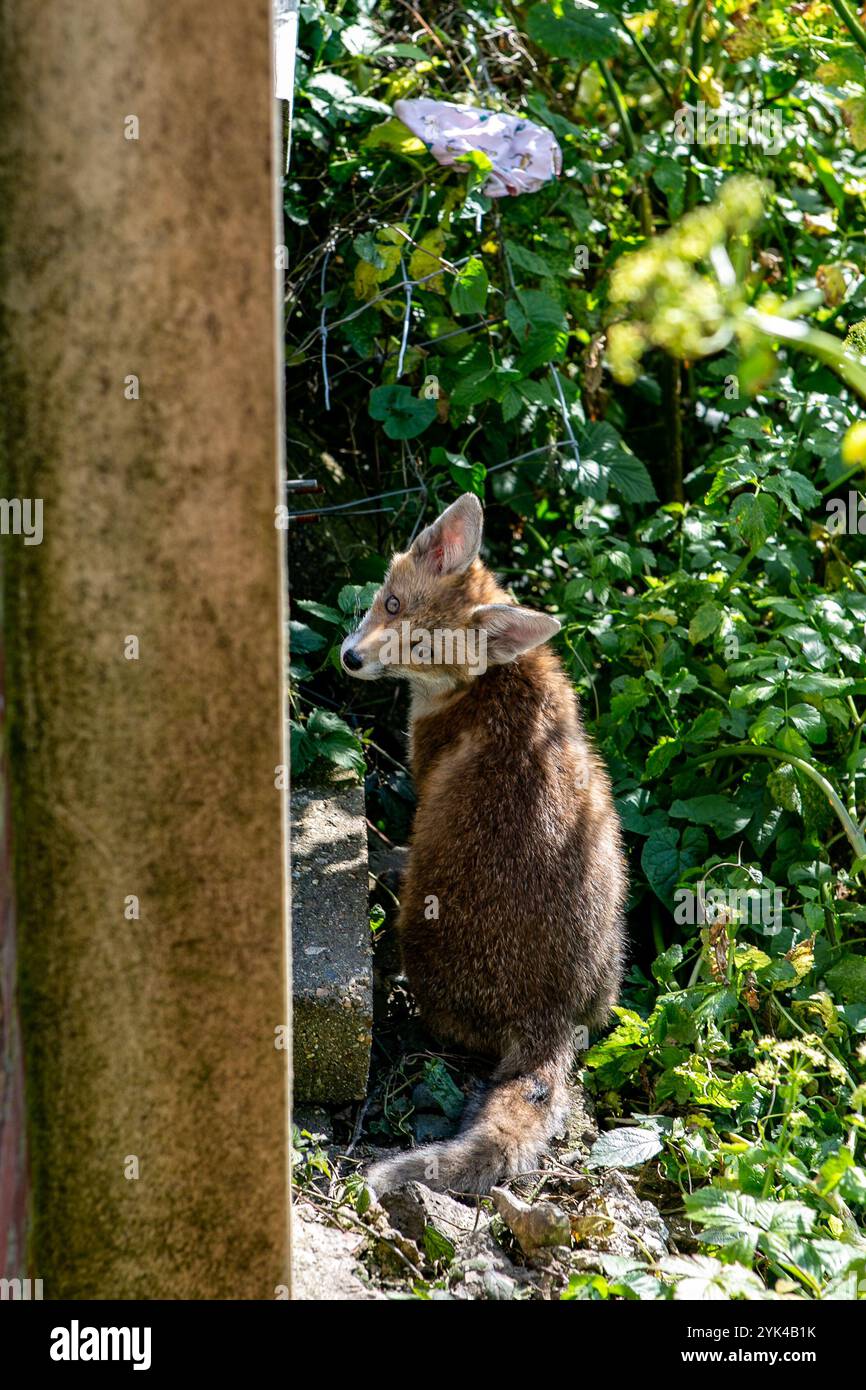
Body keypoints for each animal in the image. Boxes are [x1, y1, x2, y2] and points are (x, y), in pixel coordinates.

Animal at [340, 492, 627, 1195]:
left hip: (422, 940)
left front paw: (380, 855)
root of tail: (549, 1015)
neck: (493, 681)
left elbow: (405, 839)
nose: (351, 660)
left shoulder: (423, 775)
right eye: (391, 604)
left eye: (421, 645)